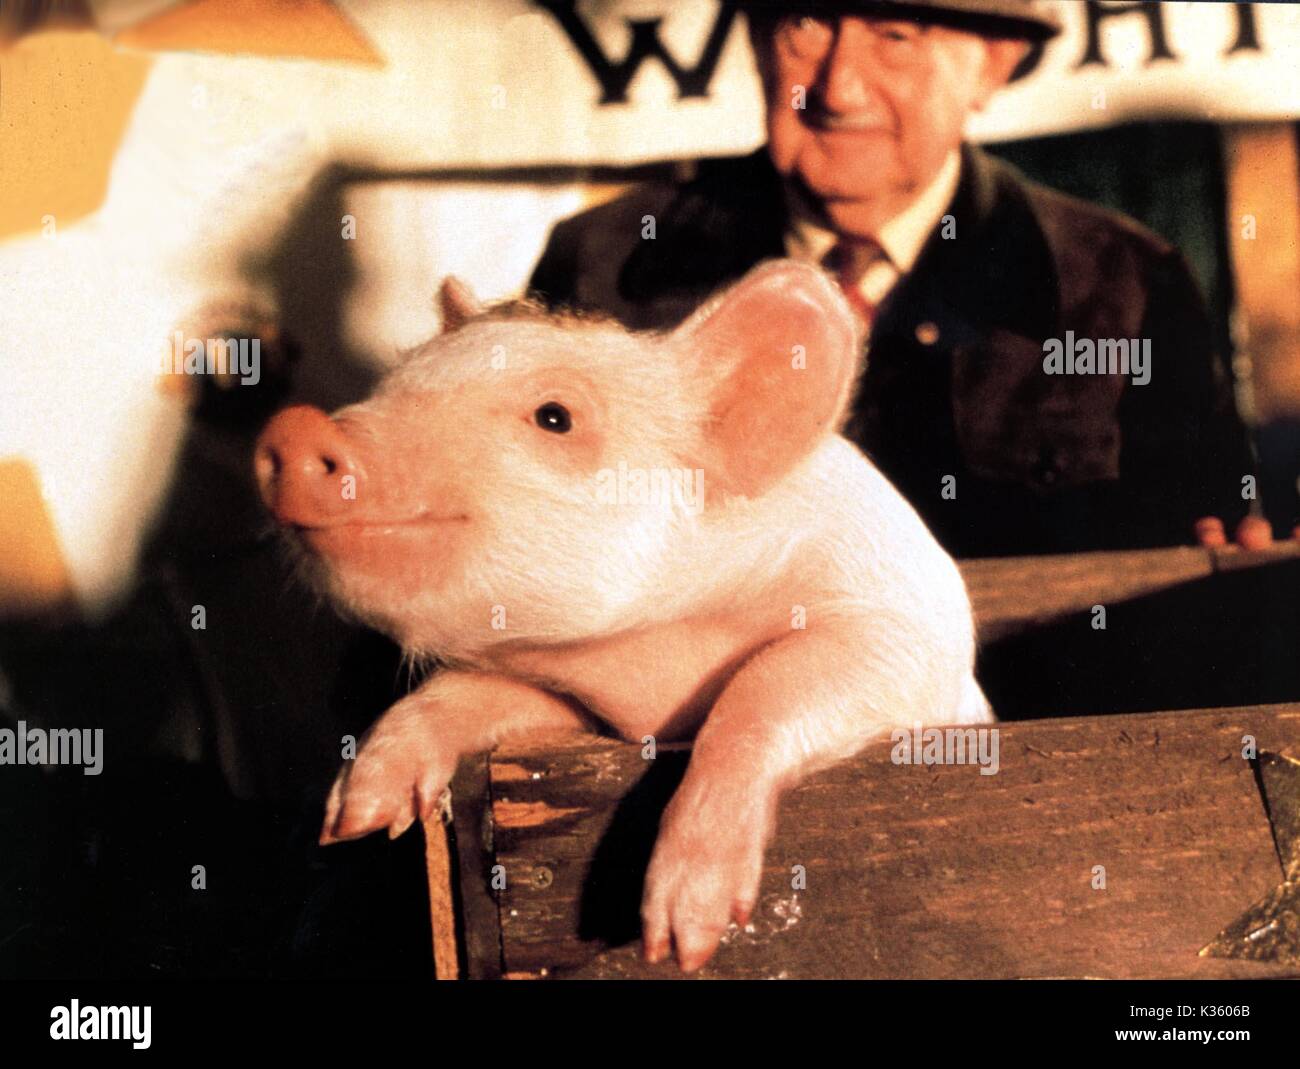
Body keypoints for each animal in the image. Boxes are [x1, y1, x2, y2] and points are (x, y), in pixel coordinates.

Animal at [253, 259, 991, 972]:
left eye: (555, 416)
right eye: (395, 379)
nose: (296, 426)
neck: (650, 674)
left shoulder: (905, 632)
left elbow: (772, 685)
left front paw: (680, 940)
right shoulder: (584, 711)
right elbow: (465, 691)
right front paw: (354, 817)